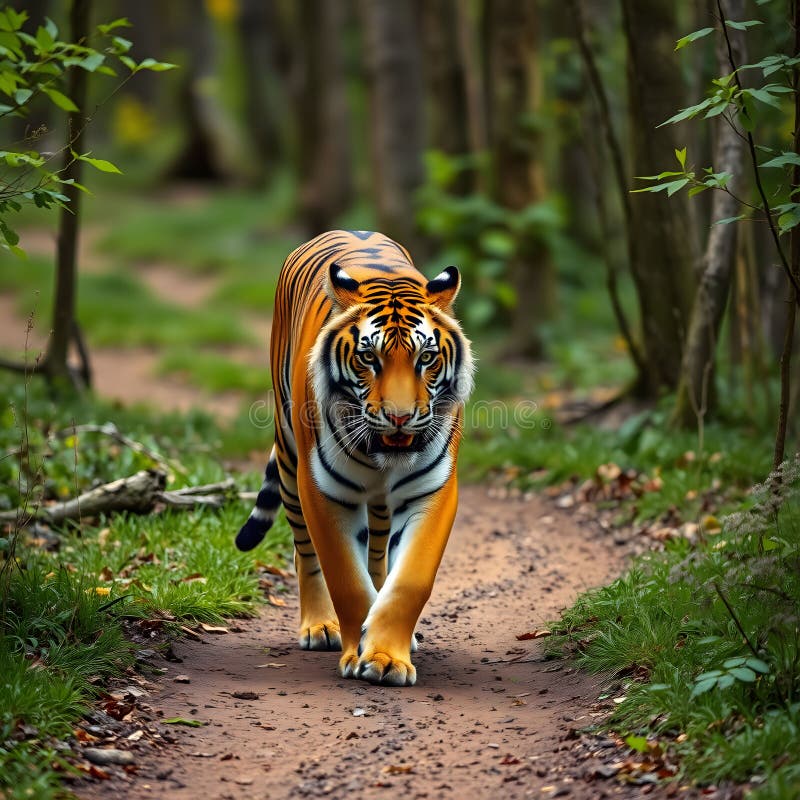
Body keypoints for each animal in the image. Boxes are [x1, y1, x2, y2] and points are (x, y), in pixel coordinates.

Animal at [236, 230, 474, 686]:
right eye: (368, 358)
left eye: (426, 358)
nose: (400, 417)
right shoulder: (323, 490)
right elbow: (344, 577)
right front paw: (358, 648)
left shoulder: (431, 491)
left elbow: (409, 580)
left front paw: (385, 655)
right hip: (290, 461)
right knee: (305, 552)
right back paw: (320, 626)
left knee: (378, 557)